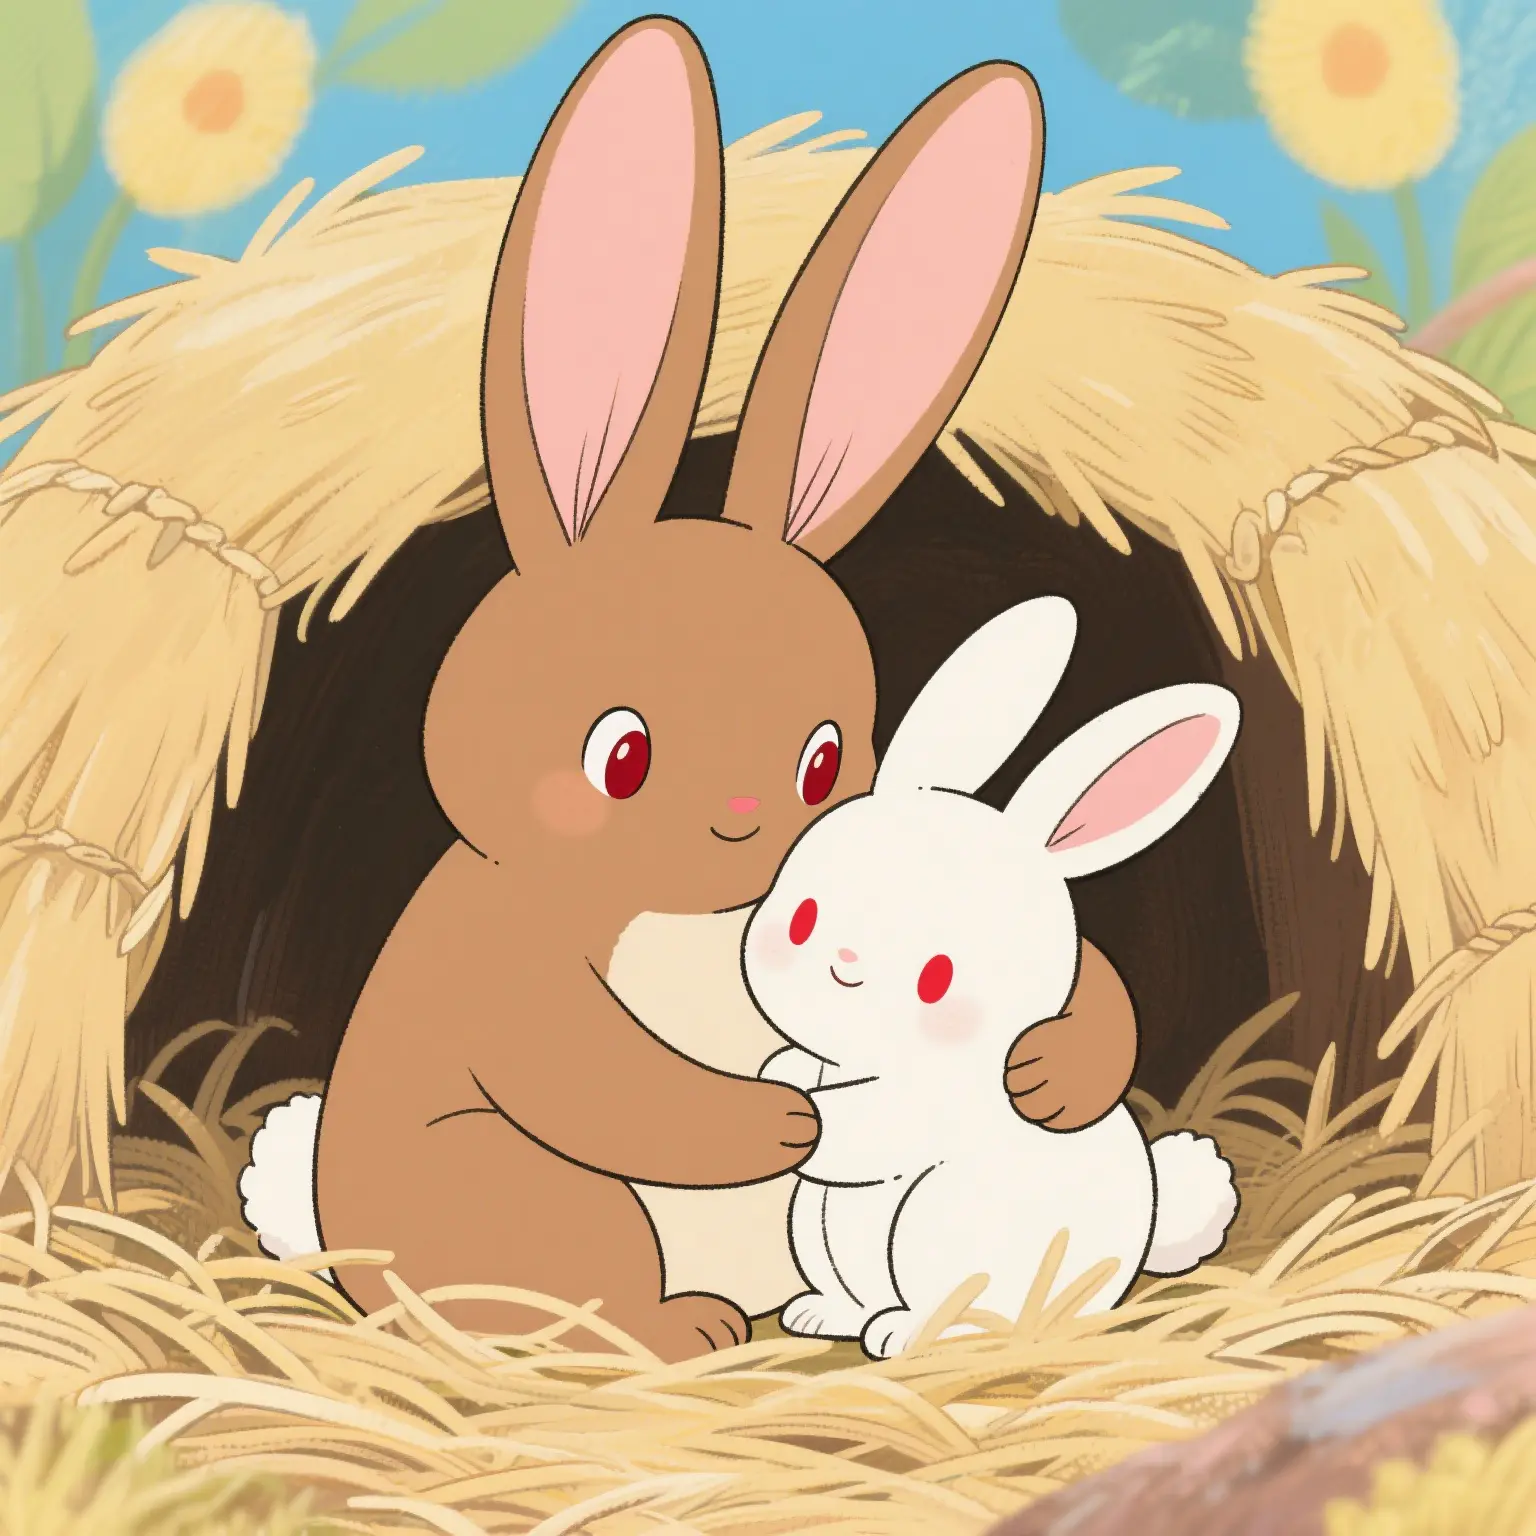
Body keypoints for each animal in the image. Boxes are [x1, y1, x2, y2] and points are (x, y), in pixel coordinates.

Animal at [240, 16, 1146, 1364]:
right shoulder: (501, 960)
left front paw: (1058, 1071)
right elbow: (598, 1081)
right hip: (540, 1194)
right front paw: (775, 1126)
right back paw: (692, 1329)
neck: (687, 909)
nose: (744, 825)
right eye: (621, 758)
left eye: (822, 761)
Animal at [743, 595, 1242, 1361]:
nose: (844, 965)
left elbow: (856, 1134)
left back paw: (908, 1331)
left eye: (937, 978)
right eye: (802, 919)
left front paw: (801, 1113)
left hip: (935, 1230)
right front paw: (784, 1072)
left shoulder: (917, 1111)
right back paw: (825, 1315)